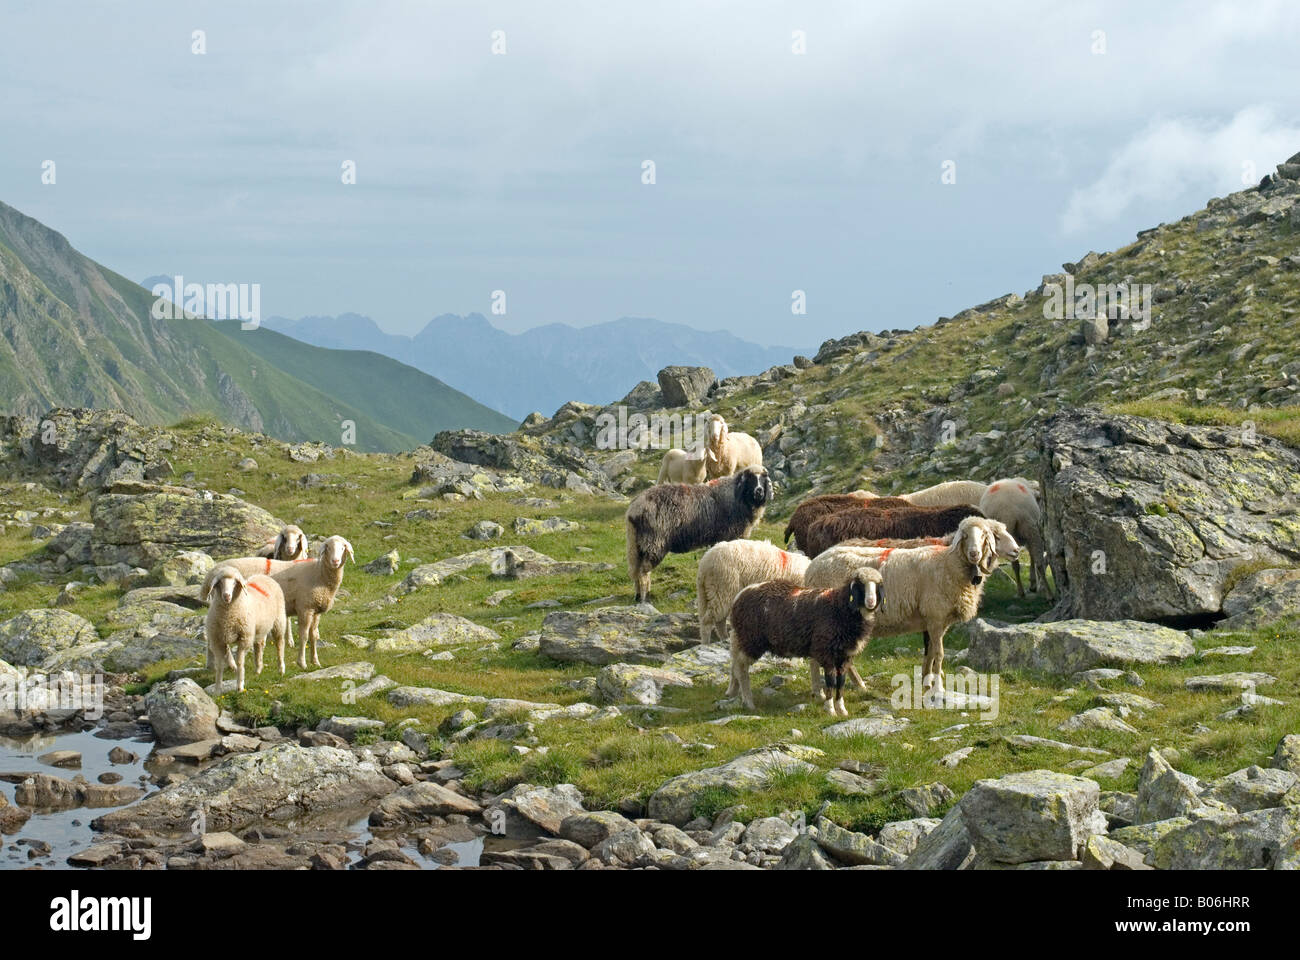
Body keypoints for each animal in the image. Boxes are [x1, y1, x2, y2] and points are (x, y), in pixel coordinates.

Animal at [204, 565, 289, 694]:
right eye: (220, 583)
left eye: (235, 582)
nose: (226, 596)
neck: (228, 615)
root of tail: (263, 576)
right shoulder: (217, 640)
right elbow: (219, 665)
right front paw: (217, 689)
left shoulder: (244, 639)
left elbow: (240, 662)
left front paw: (240, 686)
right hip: (259, 629)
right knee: (259, 646)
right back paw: (258, 669)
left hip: (279, 621)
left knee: (279, 644)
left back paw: (281, 669)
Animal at [625, 465, 773, 602]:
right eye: (750, 479)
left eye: (763, 479)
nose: (759, 491)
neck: (737, 496)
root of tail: (634, 508)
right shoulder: (729, 537)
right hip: (654, 542)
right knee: (643, 572)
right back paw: (644, 597)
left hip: (636, 544)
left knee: (636, 570)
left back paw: (638, 596)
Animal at [726, 567, 883, 716]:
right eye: (860, 585)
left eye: (877, 586)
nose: (871, 601)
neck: (839, 607)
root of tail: (741, 595)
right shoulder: (826, 651)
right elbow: (831, 681)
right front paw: (830, 709)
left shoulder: (845, 656)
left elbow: (841, 682)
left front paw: (842, 709)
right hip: (750, 640)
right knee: (741, 668)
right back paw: (748, 702)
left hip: (741, 639)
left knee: (735, 663)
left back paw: (733, 692)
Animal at [804, 516, 995, 696]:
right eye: (964, 535)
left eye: (984, 535)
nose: (974, 553)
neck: (948, 563)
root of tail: (812, 567)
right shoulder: (935, 616)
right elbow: (939, 654)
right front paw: (939, 688)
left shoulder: (937, 621)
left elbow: (931, 653)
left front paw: (927, 682)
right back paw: (819, 691)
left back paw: (858, 685)